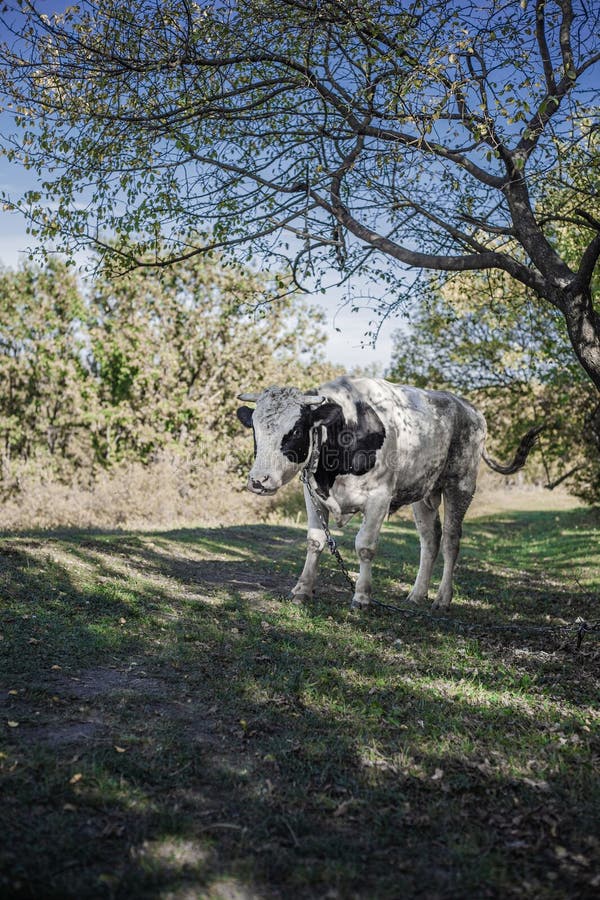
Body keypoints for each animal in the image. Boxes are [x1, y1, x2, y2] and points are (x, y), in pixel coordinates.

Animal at [236, 376, 541, 610]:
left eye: (296, 430)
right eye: (255, 430)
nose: (259, 480)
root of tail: (469, 408)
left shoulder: (379, 498)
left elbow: (365, 546)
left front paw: (361, 597)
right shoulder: (312, 494)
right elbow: (315, 541)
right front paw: (302, 589)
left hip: (461, 484)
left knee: (451, 541)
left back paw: (442, 598)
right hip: (424, 493)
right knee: (430, 540)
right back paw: (417, 594)